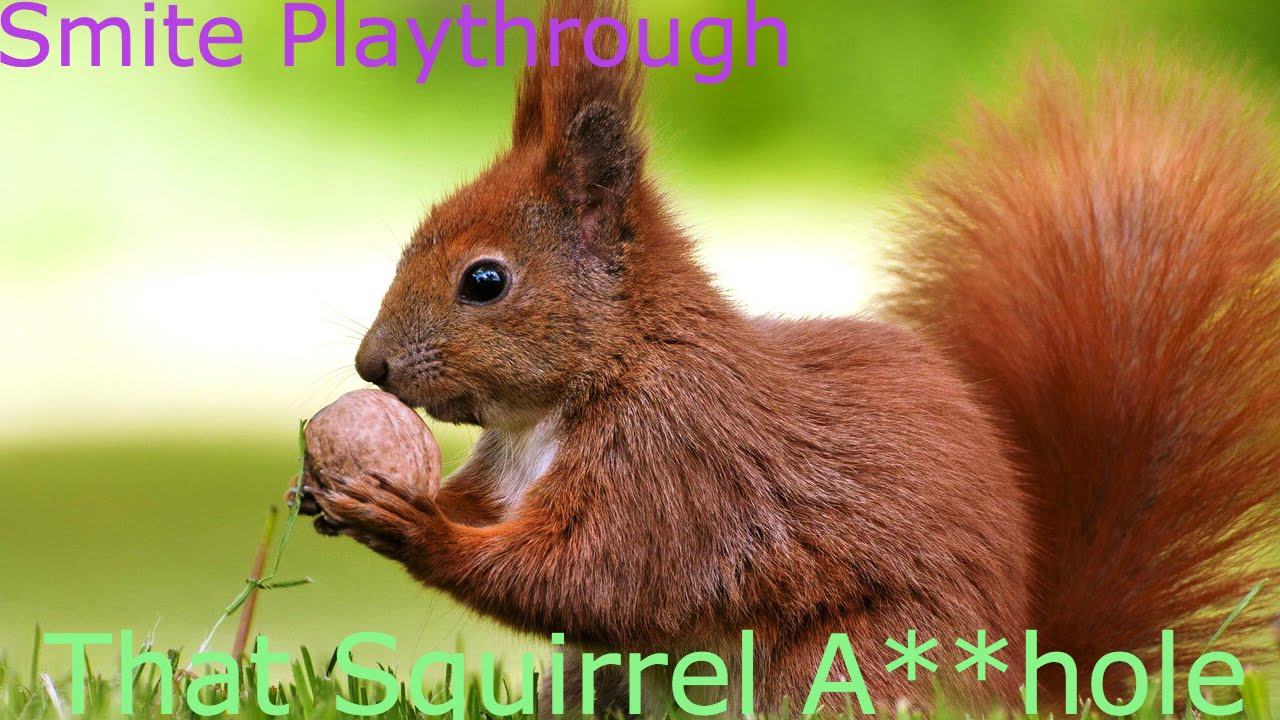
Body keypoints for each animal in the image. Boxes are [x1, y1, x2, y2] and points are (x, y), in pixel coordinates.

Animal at [298, 0, 1280, 713]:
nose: (371, 367)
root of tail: (1023, 687)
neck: (575, 396)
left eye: (486, 280)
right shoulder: (513, 471)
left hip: (844, 668)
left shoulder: (676, 466)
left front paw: (411, 526)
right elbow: (497, 521)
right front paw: (334, 491)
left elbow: (593, 579)